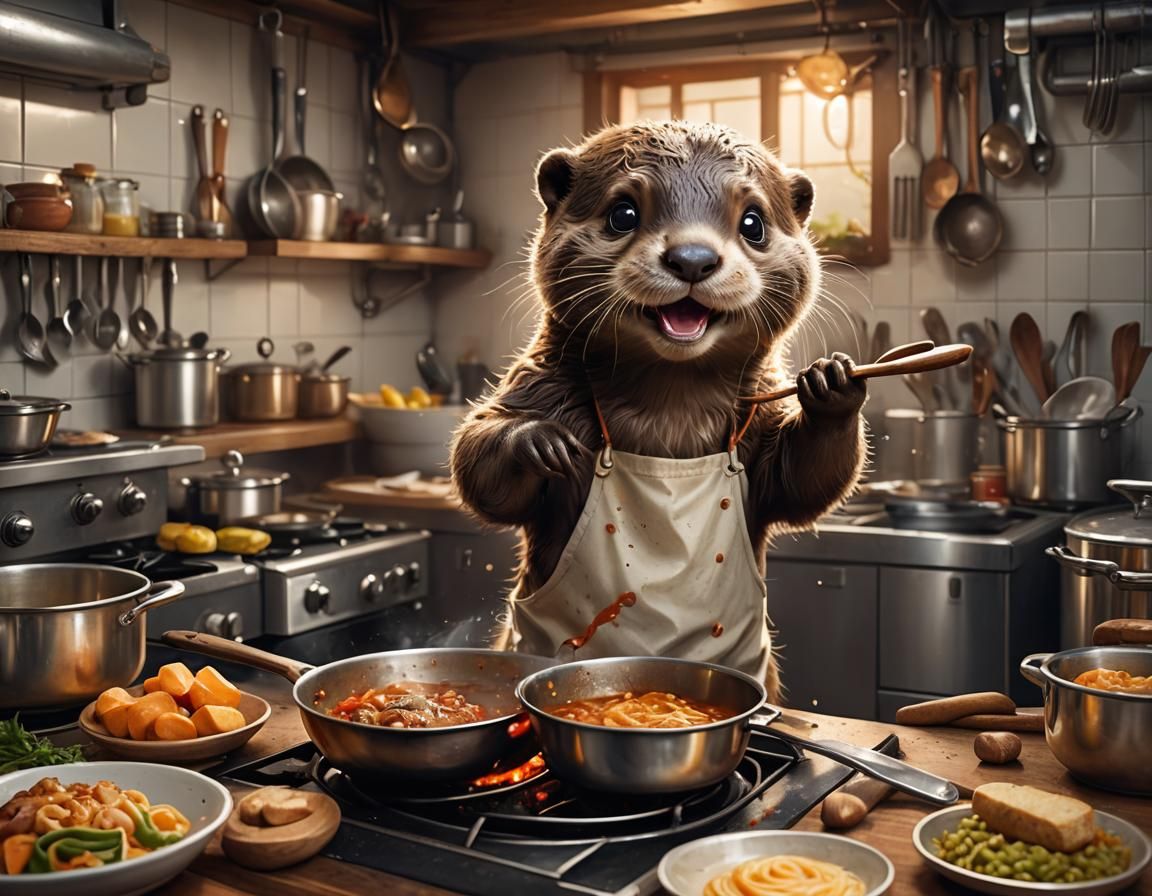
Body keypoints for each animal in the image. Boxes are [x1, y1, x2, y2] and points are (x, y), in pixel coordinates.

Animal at [450, 120, 867, 701]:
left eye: (754, 222)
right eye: (622, 213)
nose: (692, 259)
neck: (669, 421)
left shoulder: (759, 421)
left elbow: (801, 483)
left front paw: (831, 382)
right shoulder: (539, 383)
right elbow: (480, 467)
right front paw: (538, 441)